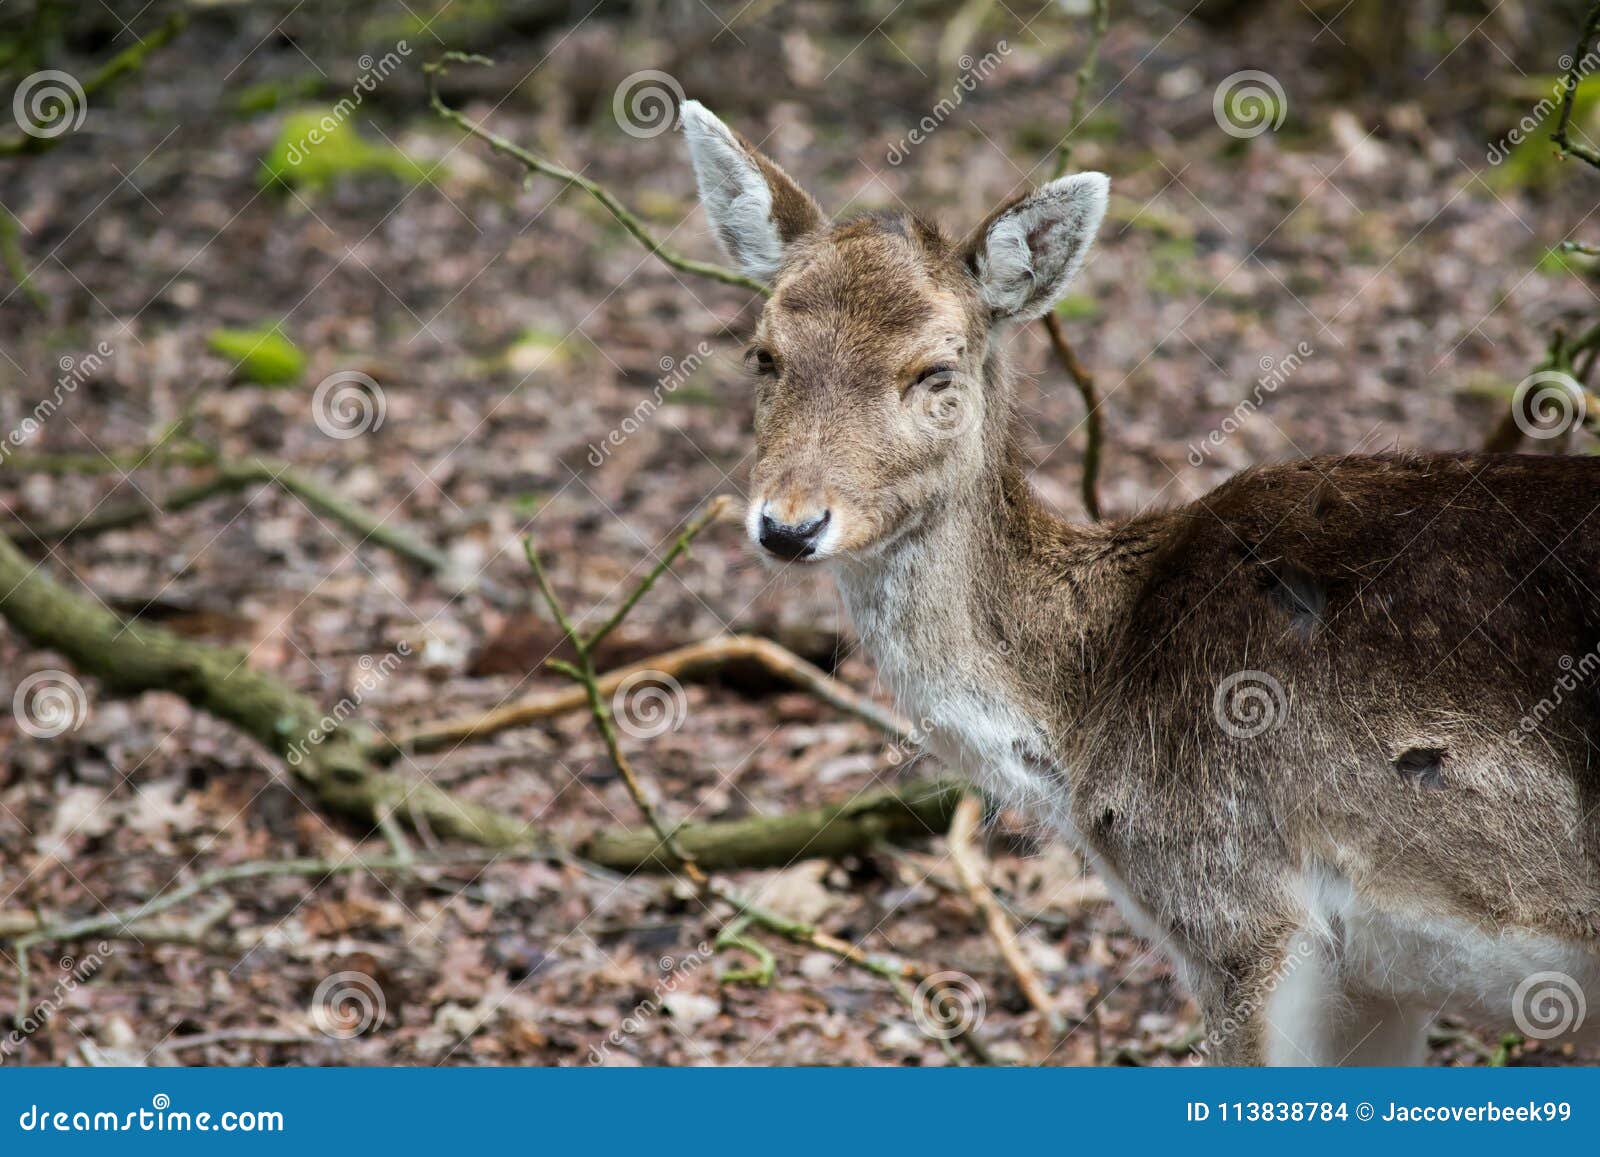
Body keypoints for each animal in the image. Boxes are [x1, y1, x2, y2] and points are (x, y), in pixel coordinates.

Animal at [675, 101, 1600, 1066]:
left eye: (935, 369)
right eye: (764, 354)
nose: (788, 524)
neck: (1085, 711)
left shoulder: (1239, 903)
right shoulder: (1380, 979)